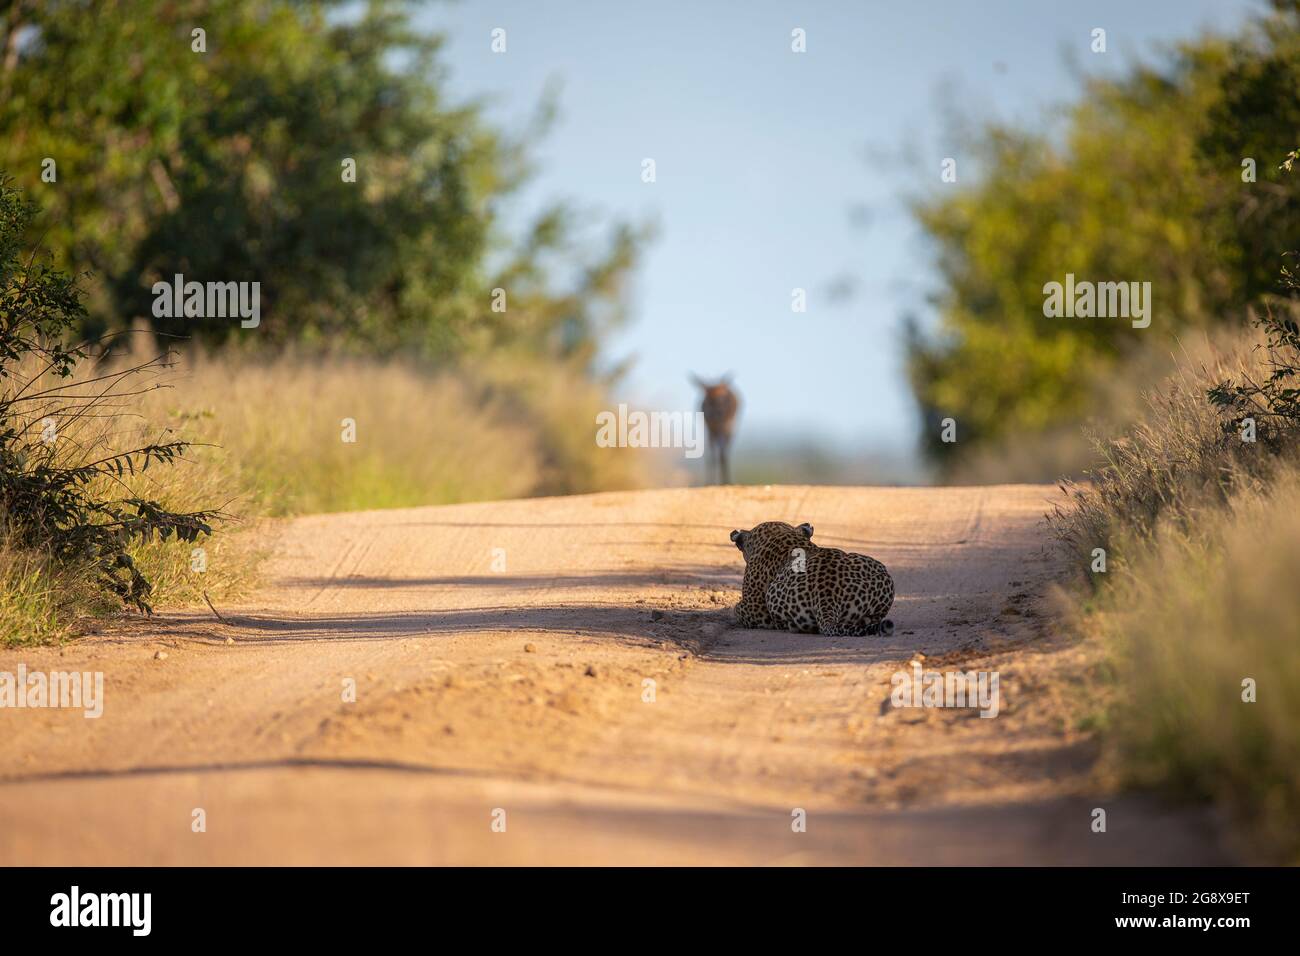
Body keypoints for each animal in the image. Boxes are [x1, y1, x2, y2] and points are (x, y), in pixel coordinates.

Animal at [729, 520, 895, 637]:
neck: (777, 533)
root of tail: (826, 596)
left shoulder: (754, 609)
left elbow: (736, 609)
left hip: (772, 593)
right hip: (883, 574)